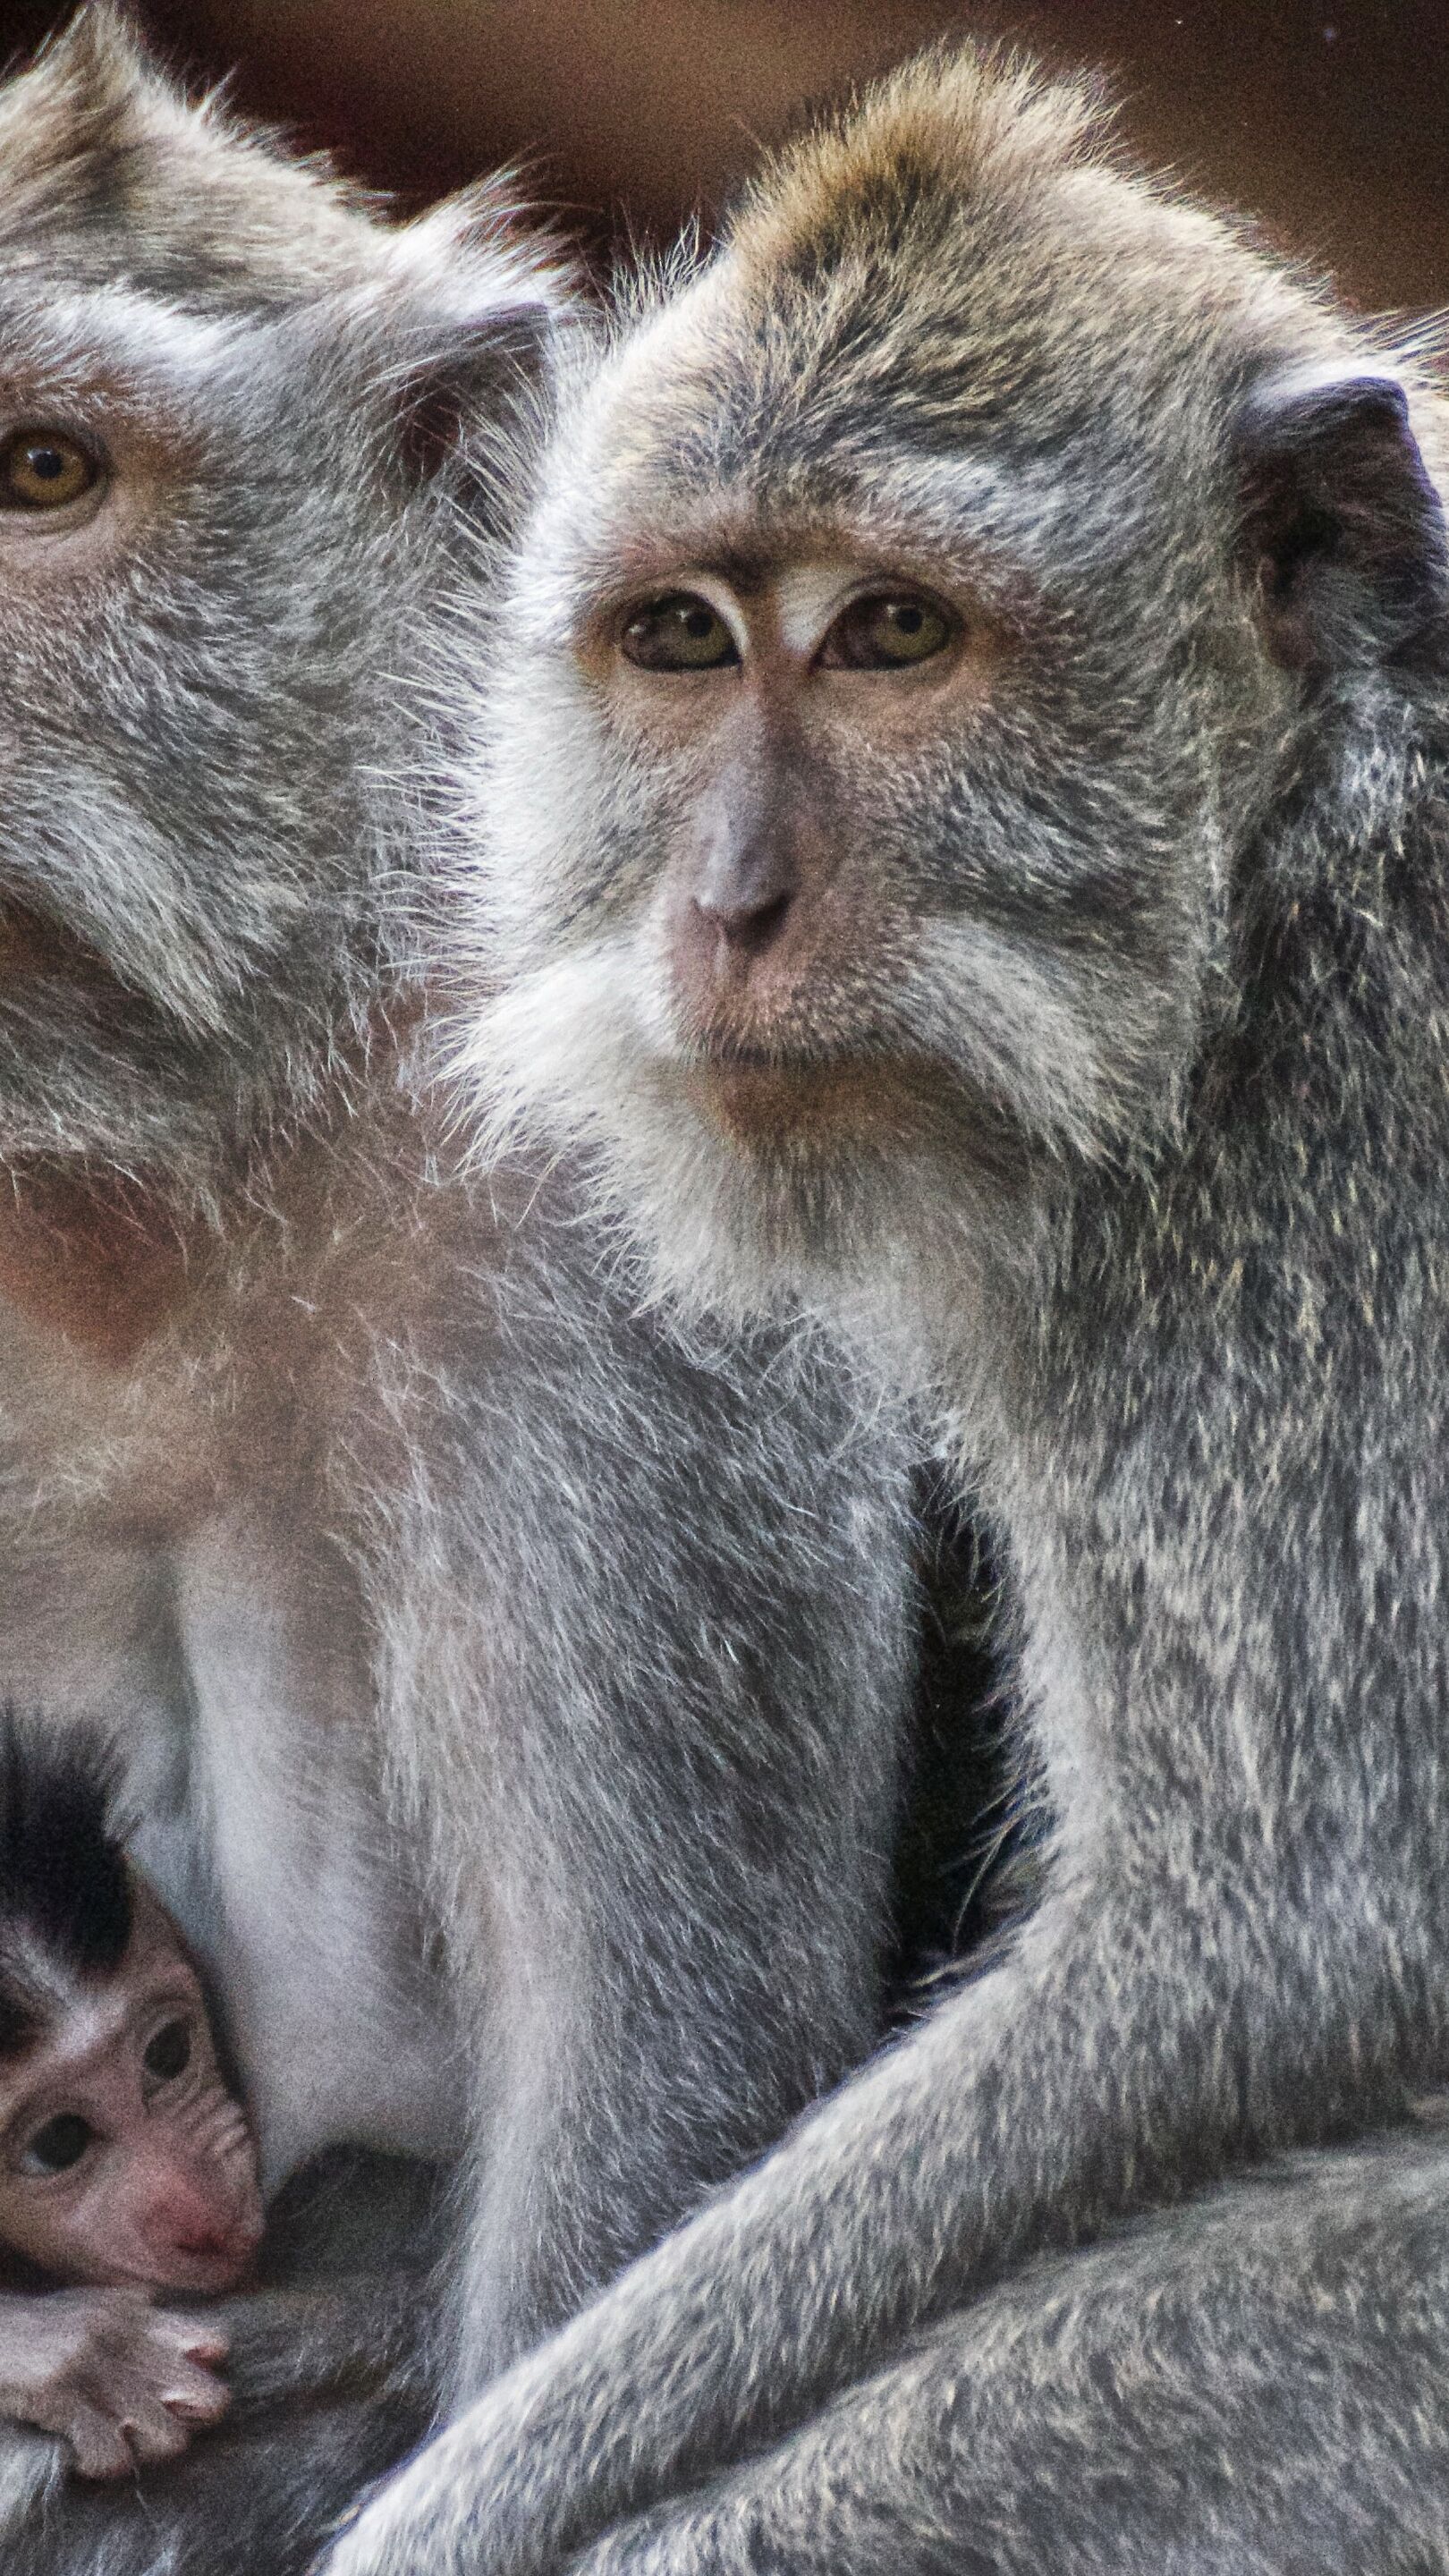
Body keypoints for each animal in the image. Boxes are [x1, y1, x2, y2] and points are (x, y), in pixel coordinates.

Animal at [314, 40, 1449, 2576]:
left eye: (894, 638)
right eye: (682, 640)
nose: (725, 904)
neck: (1269, 852)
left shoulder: (1320, 1172)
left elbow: (1292, 1936)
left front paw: (452, 2514)